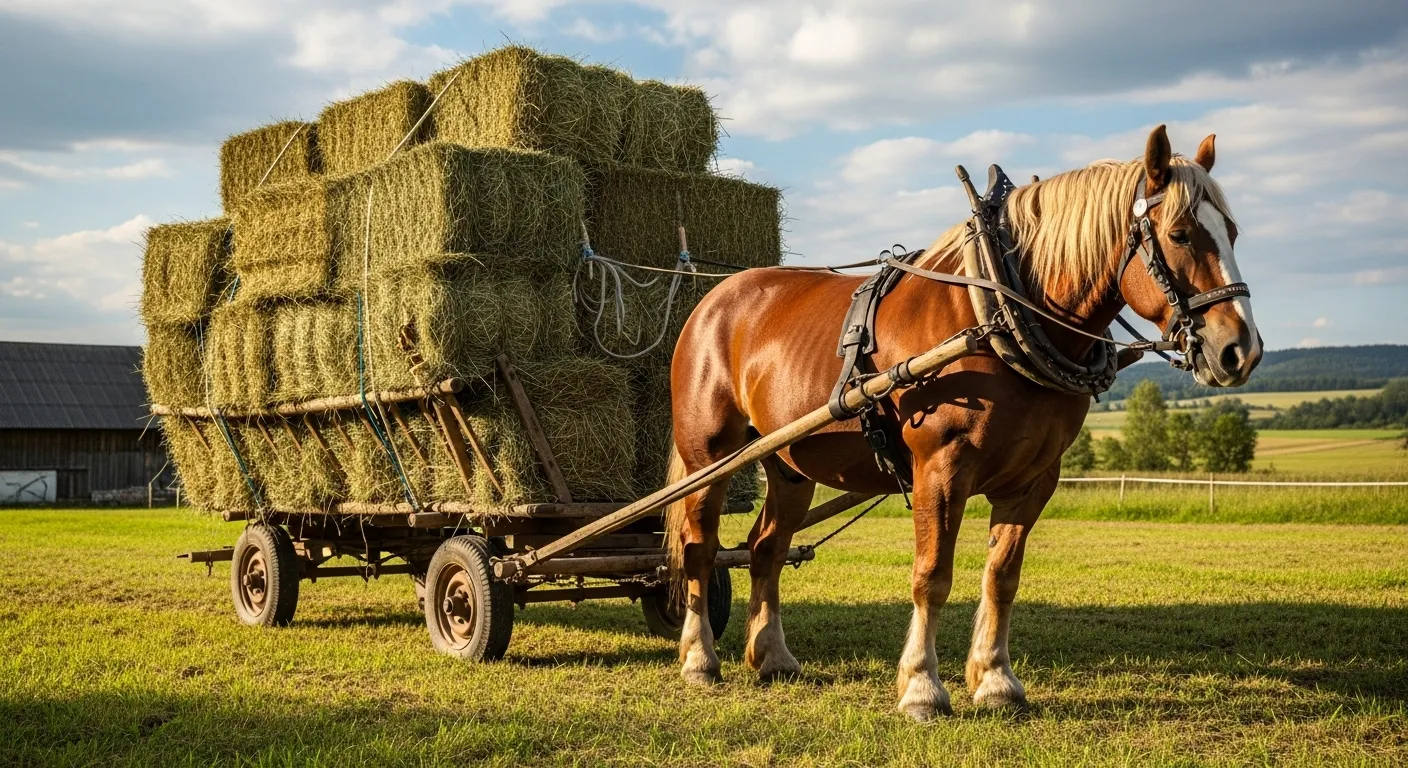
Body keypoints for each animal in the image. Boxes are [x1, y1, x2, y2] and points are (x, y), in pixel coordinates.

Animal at [663, 125, 1261, 720]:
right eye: (1180, 234)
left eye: (1232, 231)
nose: (1241, 351)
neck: (998, 315)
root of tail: (713, 299)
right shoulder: (941, 469)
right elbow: (932, 576)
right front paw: (922, 687)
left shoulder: (1033, 479)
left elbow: (1002, 577)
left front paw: (996, 680)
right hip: (709, 456)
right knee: (699, 549)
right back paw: (699, 659)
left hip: (788, 462)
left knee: (766, 546)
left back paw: (773, 657)